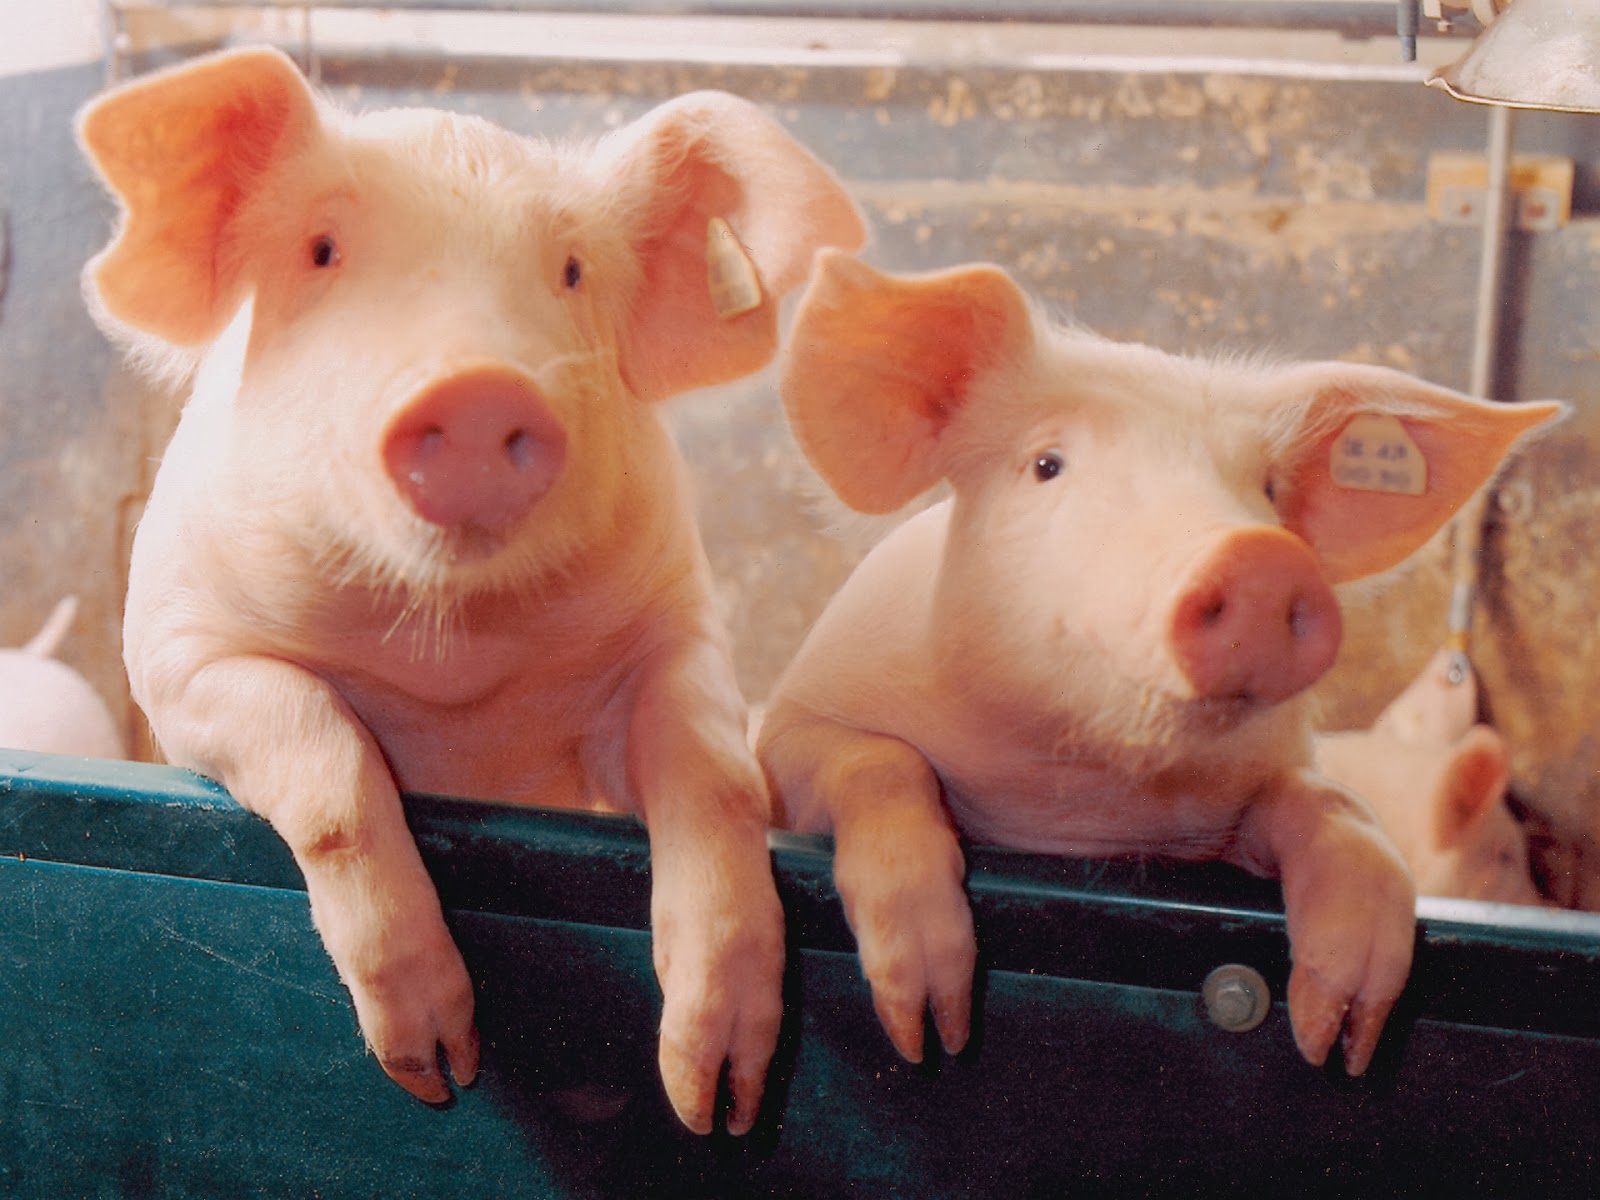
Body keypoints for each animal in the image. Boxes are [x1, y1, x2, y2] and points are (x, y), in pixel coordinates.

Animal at [77, 47, 864, 1133]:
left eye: (571, 270)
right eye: (321, 250)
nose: (479, 389)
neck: (453, 665)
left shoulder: (677, 635)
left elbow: (713, 778)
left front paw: (712, 1103)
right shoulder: (173, 652)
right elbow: (323, 751)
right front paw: (436, 1075)